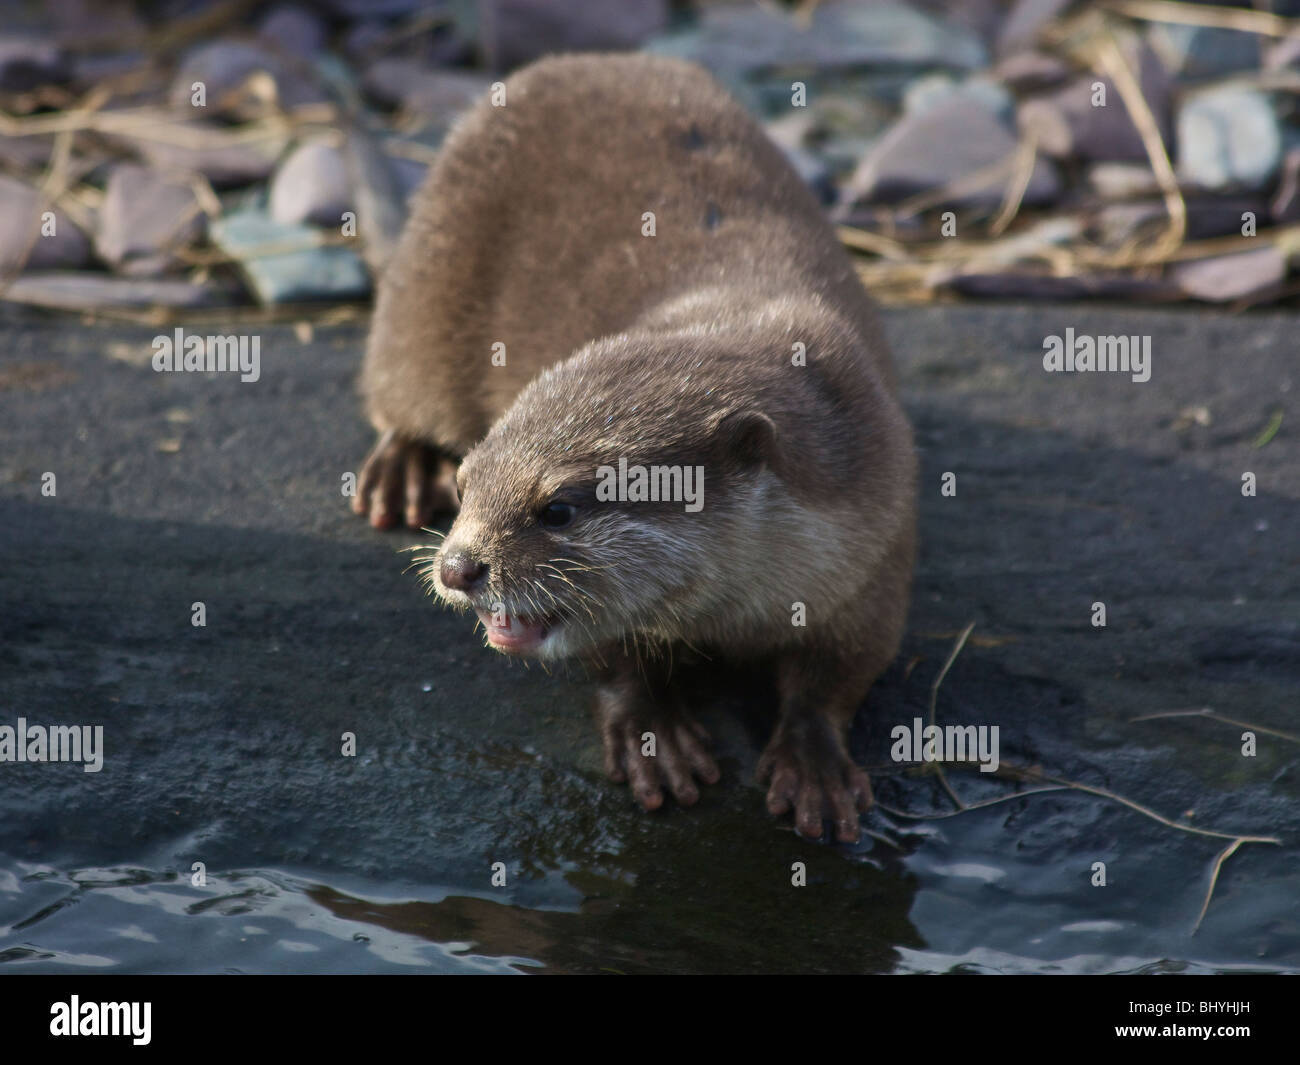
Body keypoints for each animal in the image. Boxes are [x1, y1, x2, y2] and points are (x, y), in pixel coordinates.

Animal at [353, 53, 917, 842]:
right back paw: (401, 469)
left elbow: (841, 670)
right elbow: (610, 654)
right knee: (398, 384)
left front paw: (814, 762)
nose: (459, 566)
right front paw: (655, 733)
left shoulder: (876, 543)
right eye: (468, 486)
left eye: (558, 508)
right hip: (424, 288)